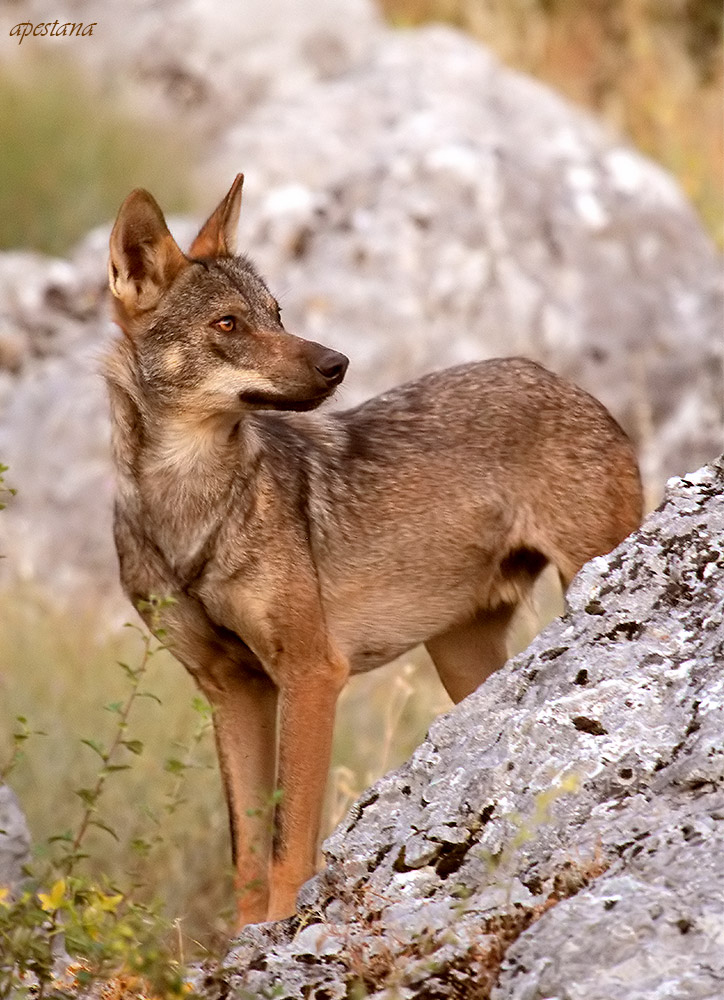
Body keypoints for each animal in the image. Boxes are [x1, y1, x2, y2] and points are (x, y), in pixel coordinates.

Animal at [104, 174, 643, 928]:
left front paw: (282, 932)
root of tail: (569, 385)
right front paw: (246, 941)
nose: (337, 364)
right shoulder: (230, 689)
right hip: (463, 660)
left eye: (276, 313)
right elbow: (247, 856)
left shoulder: (311, 674)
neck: (189, 514)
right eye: (229, 325)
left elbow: (288, 847)